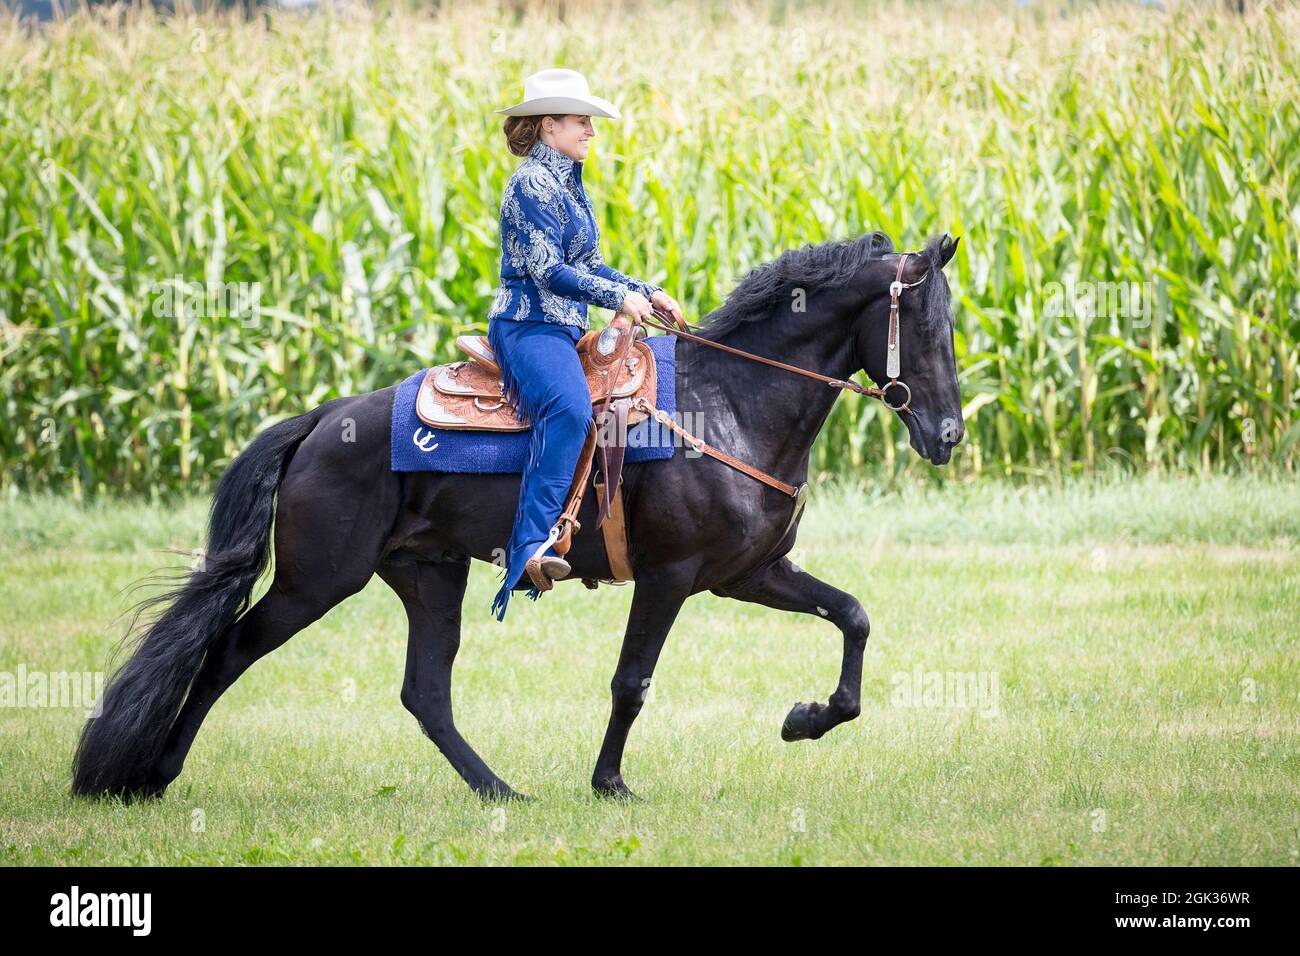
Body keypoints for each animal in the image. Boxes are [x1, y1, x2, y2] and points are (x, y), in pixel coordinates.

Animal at [71, 231, 963, 802]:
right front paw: (609, 783)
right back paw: (153, 777)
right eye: (928, 325)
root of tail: (322, 422)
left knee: (425, 693)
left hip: (428, 577)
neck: (730, 404)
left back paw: (500, 790)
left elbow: (853, 616)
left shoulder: (750, 573)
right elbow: (631, 682)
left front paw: (806, 719)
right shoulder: (670, 579)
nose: (948, 434)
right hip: (314, 582)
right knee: (226, 653)